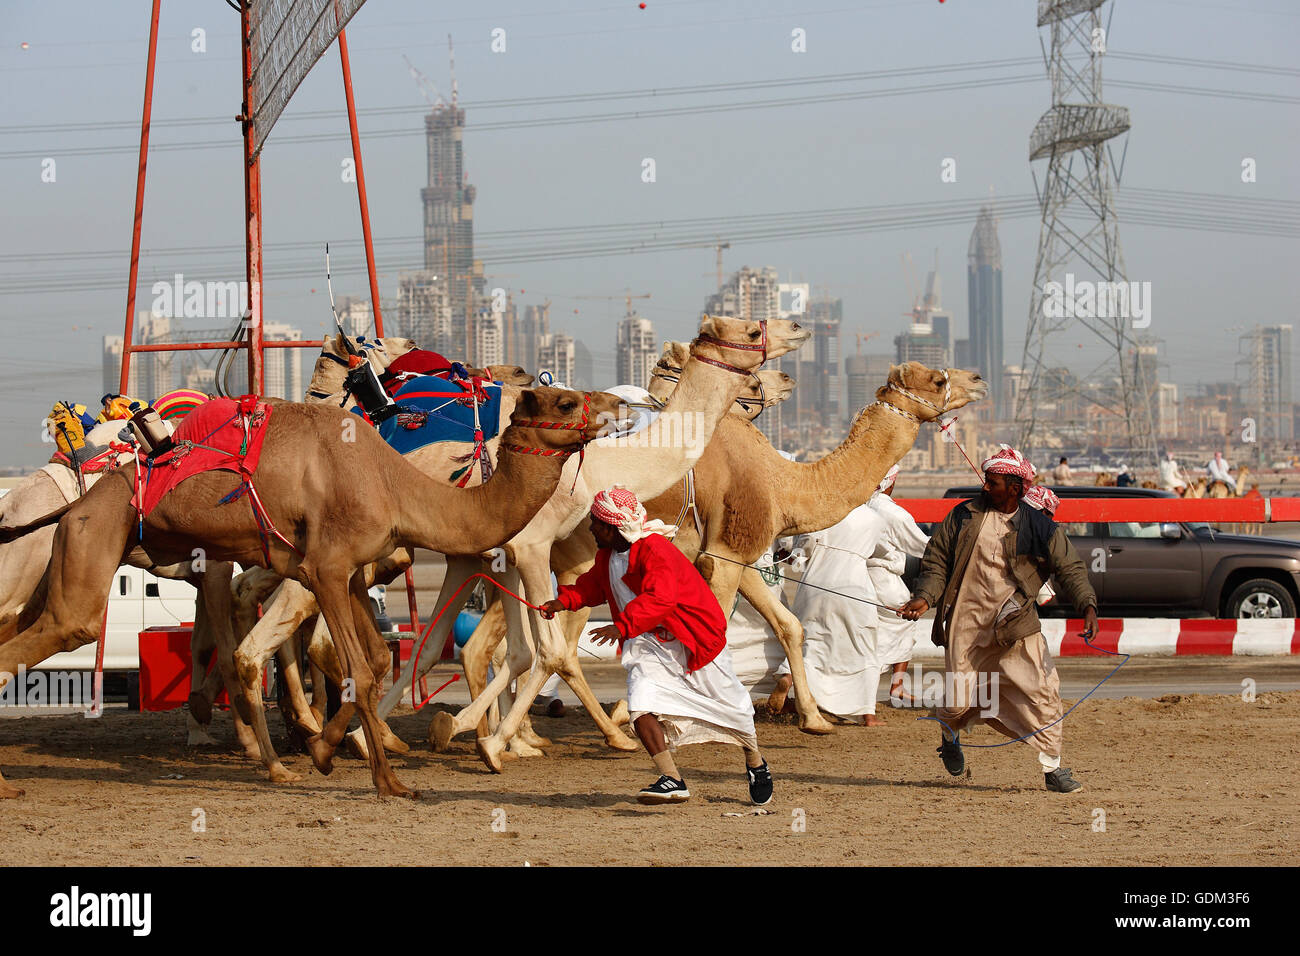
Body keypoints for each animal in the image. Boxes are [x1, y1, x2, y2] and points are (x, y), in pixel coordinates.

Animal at [0, 385, 612, 799]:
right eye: (563, 402)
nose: (610, 409)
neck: (394, 483)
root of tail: (74, 504)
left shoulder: (351, 571)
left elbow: (373, 660)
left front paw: (323, 750)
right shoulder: (327, 568)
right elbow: (359, 666)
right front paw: (387, 780)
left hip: (66, 557)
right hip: (94, 543)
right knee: (62, 629)